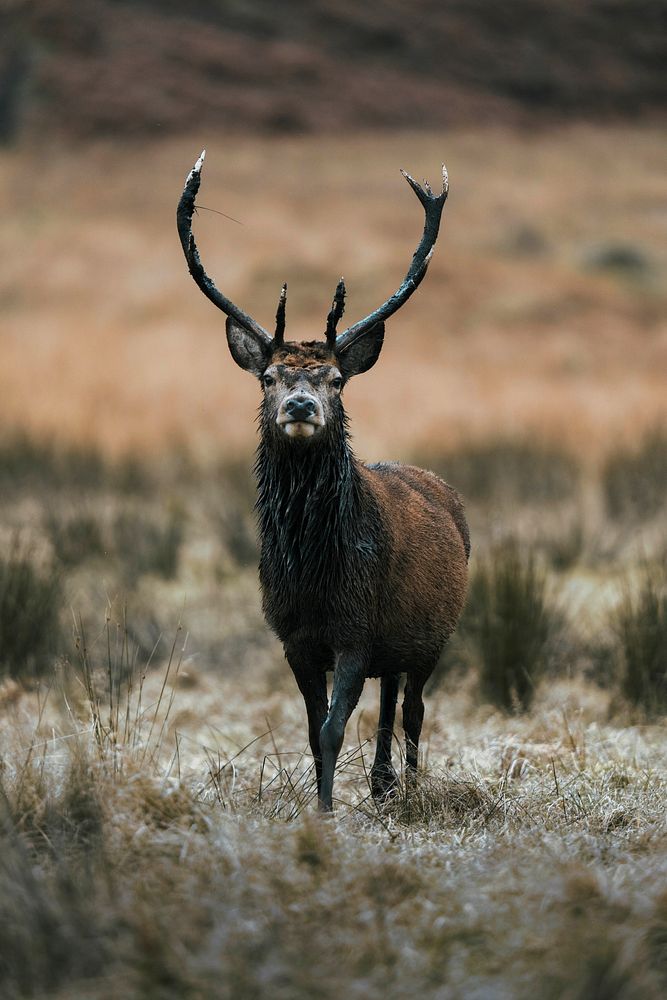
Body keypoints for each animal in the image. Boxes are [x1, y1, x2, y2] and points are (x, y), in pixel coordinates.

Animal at [177, 151, 469, 812]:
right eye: (269, 377)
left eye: (335, 379)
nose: (302, 405)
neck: (314, 571)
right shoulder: (294, 635)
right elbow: (313, 730)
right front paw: (323, 804)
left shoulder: (356, 626)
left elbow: (336, 728)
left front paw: (330, 811)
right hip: (394, 640)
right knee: (389, 699)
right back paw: (383, 786)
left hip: (433, 635)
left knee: (413, 706)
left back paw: (410, 787)